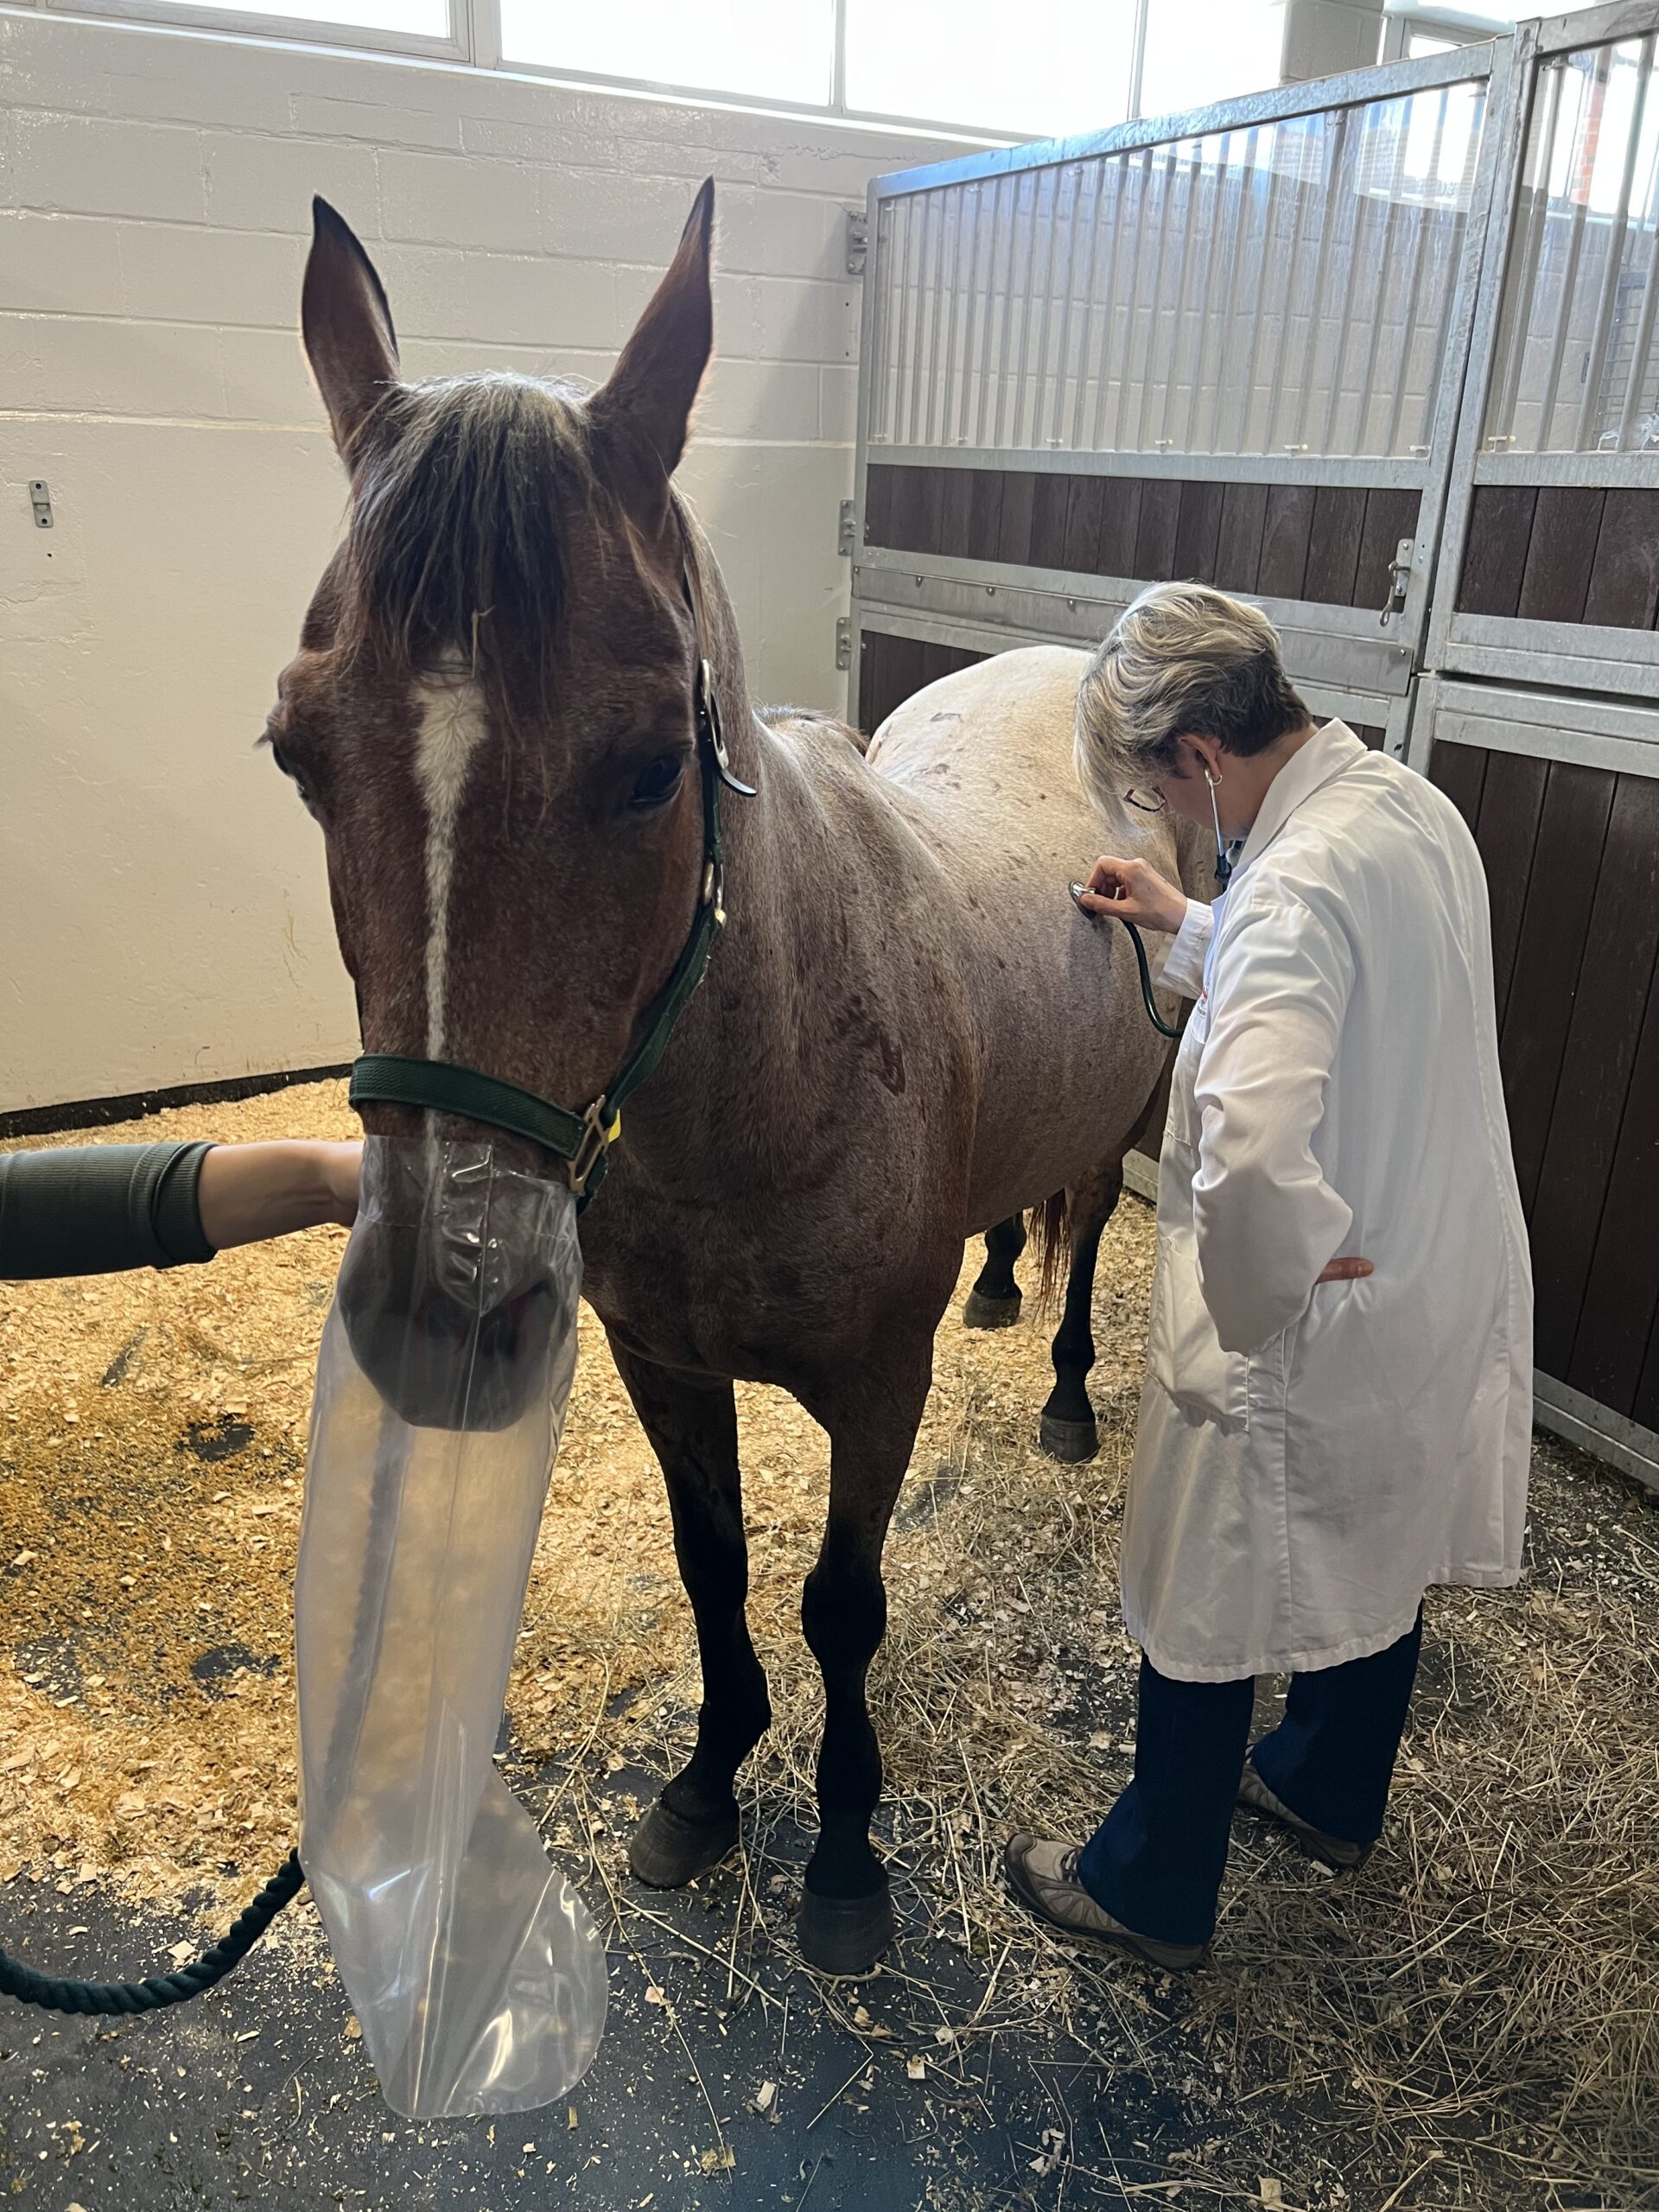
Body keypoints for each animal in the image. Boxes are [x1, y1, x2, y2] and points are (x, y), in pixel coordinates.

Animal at [274, 182, 1209, 1976]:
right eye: (296, 753)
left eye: (651, 767)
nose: (440, 1309)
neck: (759, 1093)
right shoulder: (663, 1364)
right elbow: (715, 1567)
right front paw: (707, 1788)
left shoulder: (876, 1390)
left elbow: (842, 1606)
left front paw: (843, 1857)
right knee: (1025, 1223)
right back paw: (996, 1279)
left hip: (1139, 1103)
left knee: (1088, 1235)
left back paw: (1060, 1380)